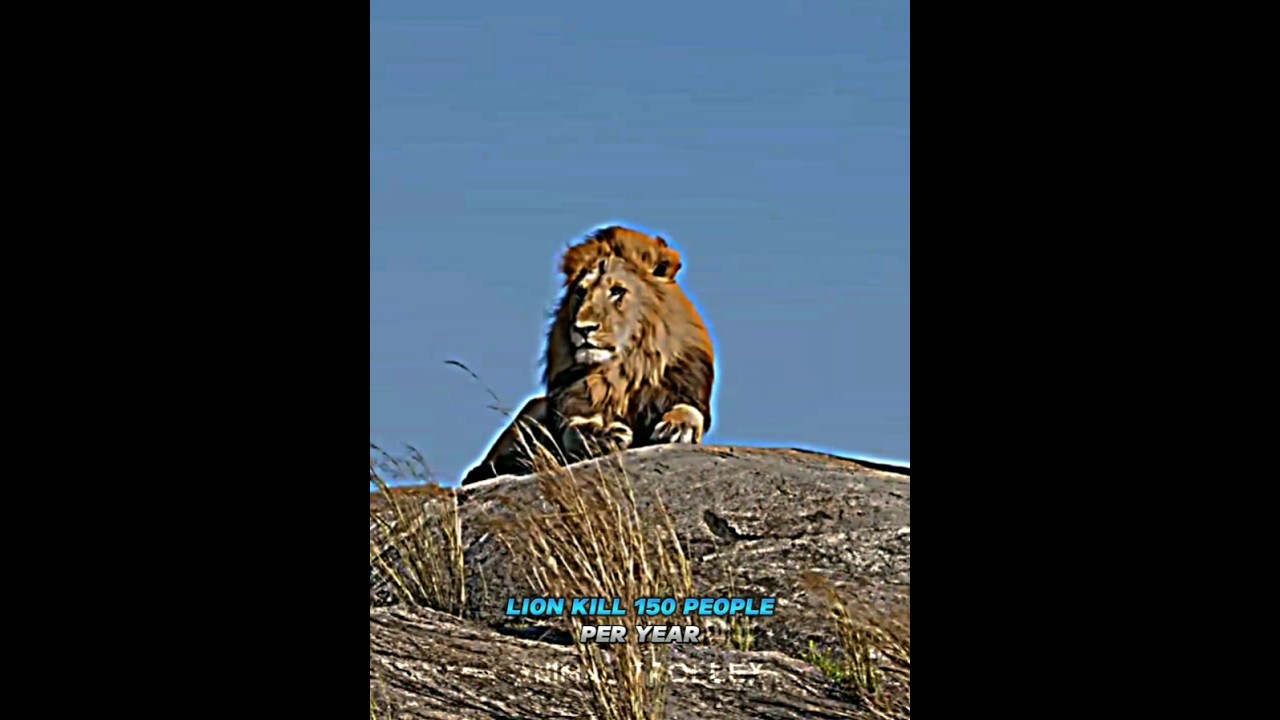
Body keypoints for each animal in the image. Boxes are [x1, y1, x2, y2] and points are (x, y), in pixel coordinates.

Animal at [461, 226, 715, 484]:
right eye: (581, 293)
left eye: (617, 291)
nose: (583, 328)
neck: (624, 370)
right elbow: (574, 429)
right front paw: (603, 436)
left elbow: (691, 410)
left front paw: (677, 426)